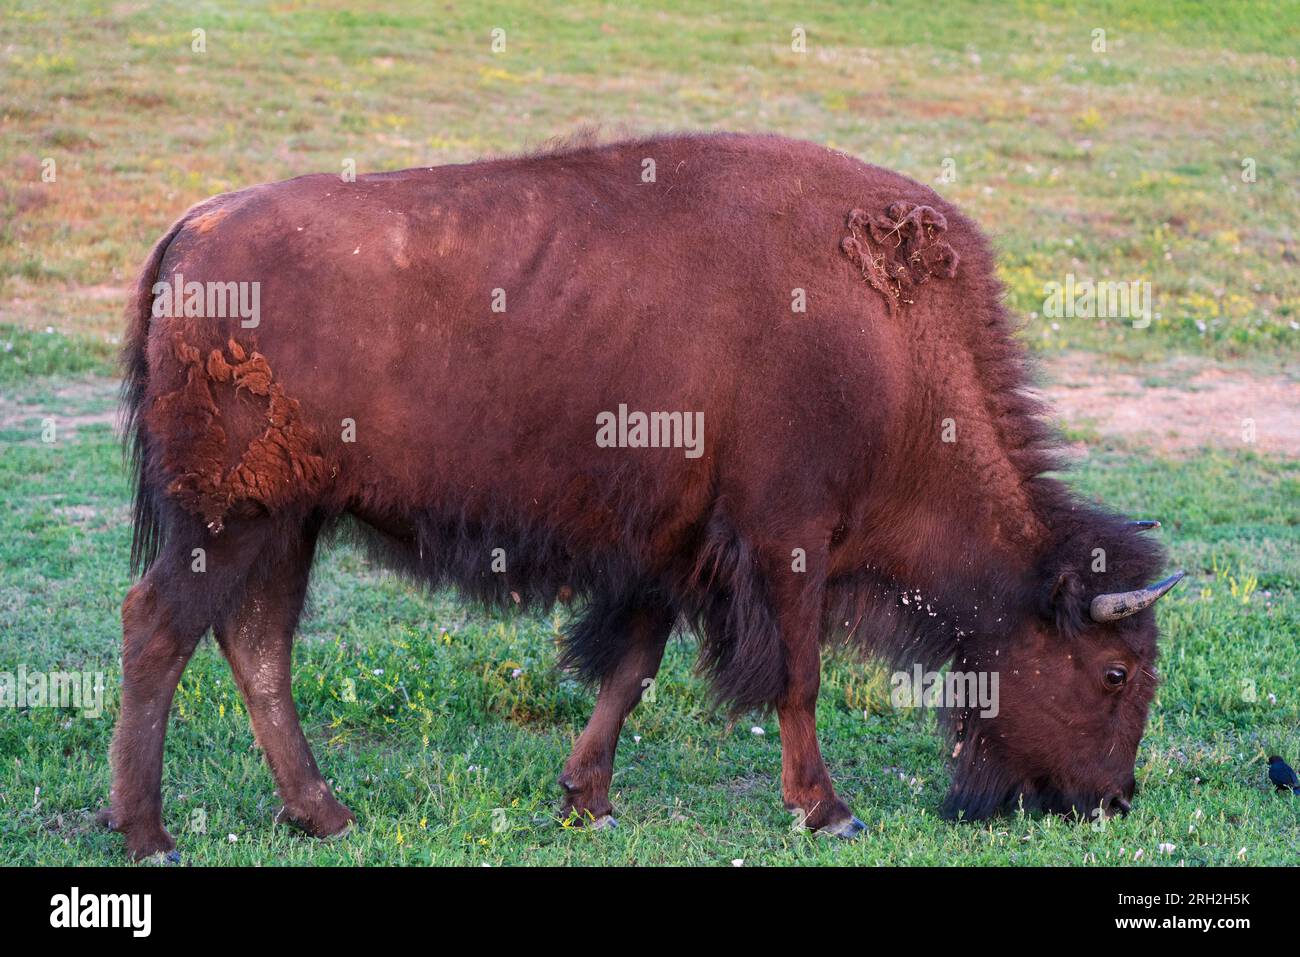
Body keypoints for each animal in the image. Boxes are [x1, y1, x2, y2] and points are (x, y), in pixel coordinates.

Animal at [103, 132, 1182, 859]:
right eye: (1114, 672)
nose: (1111, 801)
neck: (889, 353)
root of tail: (190, 230)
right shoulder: (787, 542)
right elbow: (796, 677)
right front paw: (828, 810)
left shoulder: (671, 554)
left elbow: (629, 670)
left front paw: (586, 798)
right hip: (226, 521)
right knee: (160, 629)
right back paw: (150, 833)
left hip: (286, 523)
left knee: (257, 647)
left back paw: (323, 814)